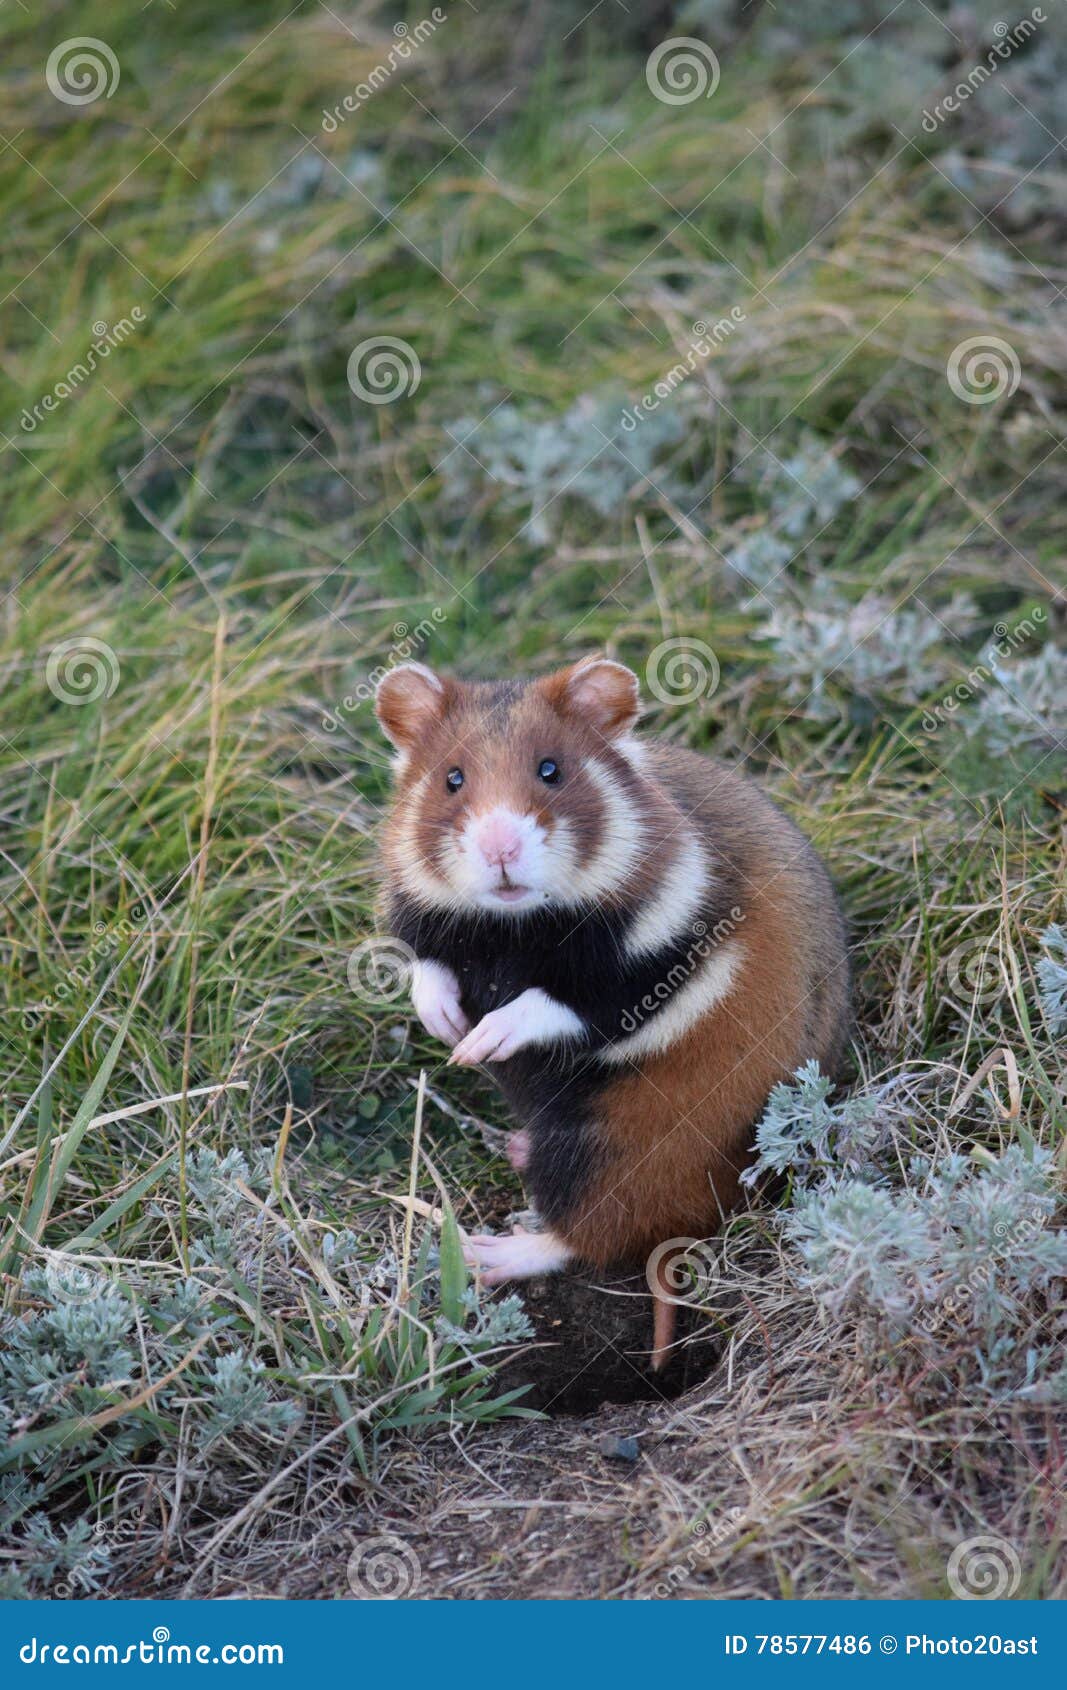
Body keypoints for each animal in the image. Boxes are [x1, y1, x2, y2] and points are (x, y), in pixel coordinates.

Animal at [374, 654, 850, 1366]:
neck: (513, 926)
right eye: (451, 779)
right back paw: (512, 1150)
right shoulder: (424, 919)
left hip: (604, 1153)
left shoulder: (652, 965)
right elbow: (426, 965)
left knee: (589, 1237)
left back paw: (486, 1251)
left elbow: (556, 1003)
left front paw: (478, 1042)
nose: (500, 851)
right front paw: (448, 1026)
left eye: (551, 769)